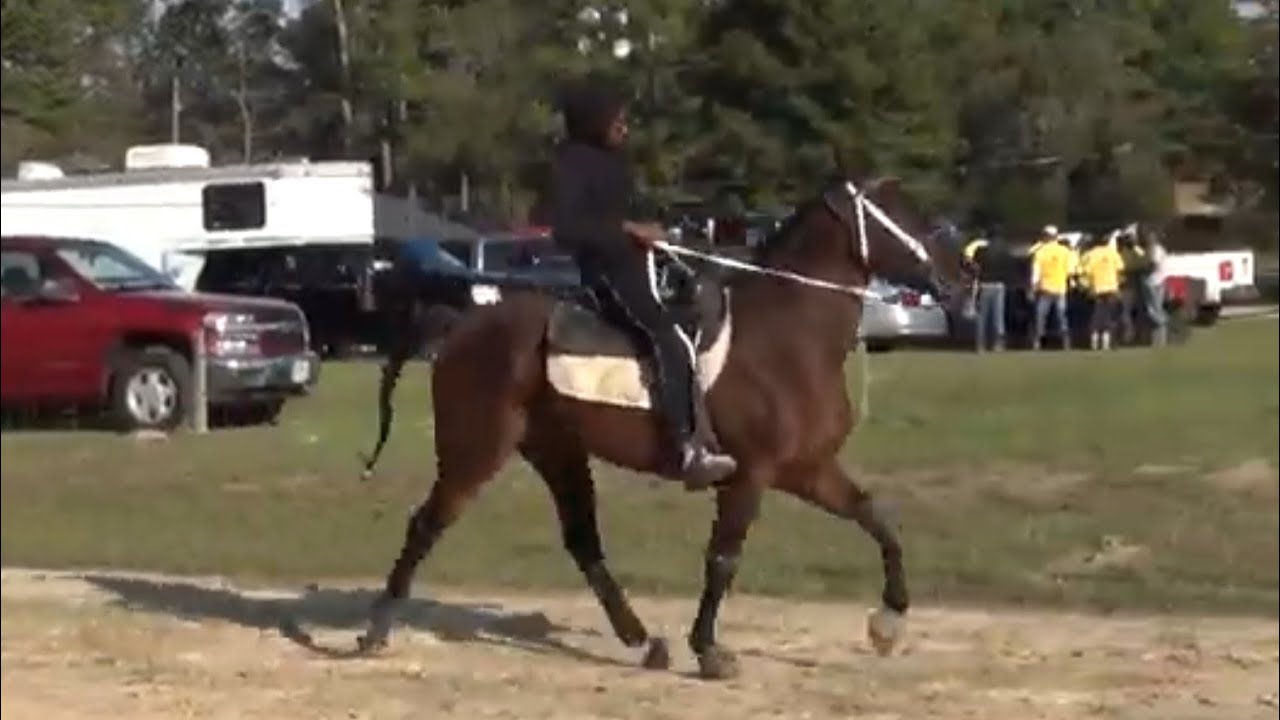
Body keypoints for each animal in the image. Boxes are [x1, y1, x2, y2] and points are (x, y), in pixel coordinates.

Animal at [355, 175, 972, 680]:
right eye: (905, 213)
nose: (965, 274)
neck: (787, 336)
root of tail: (461, 325)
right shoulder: (752, 474)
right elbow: (723, 559)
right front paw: (710, 651)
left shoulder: (808, 469)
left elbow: (877, 520)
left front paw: (888, 622)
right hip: (476, 450)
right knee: (427, 524)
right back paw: (375, 630)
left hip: (556, 450)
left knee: (583, 543)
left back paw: (643, 640)